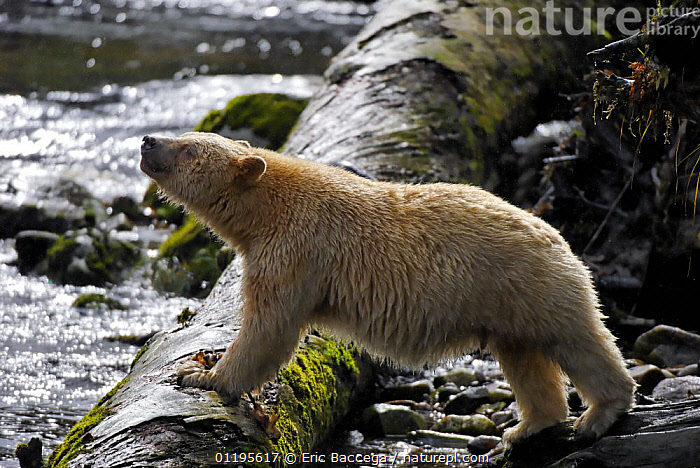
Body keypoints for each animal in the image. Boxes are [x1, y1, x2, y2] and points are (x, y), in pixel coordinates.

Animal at [139, 131, 635, 443]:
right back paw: (527, 427)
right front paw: (201, 366)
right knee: (524, 356)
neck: (269, 206)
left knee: (576, 340)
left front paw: (202, 375)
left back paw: (599, 414)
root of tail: (554, 233)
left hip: (526, 282)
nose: (147, 140)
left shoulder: (296, 248)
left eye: (188, 146)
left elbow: (269, 327)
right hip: (508, 302)